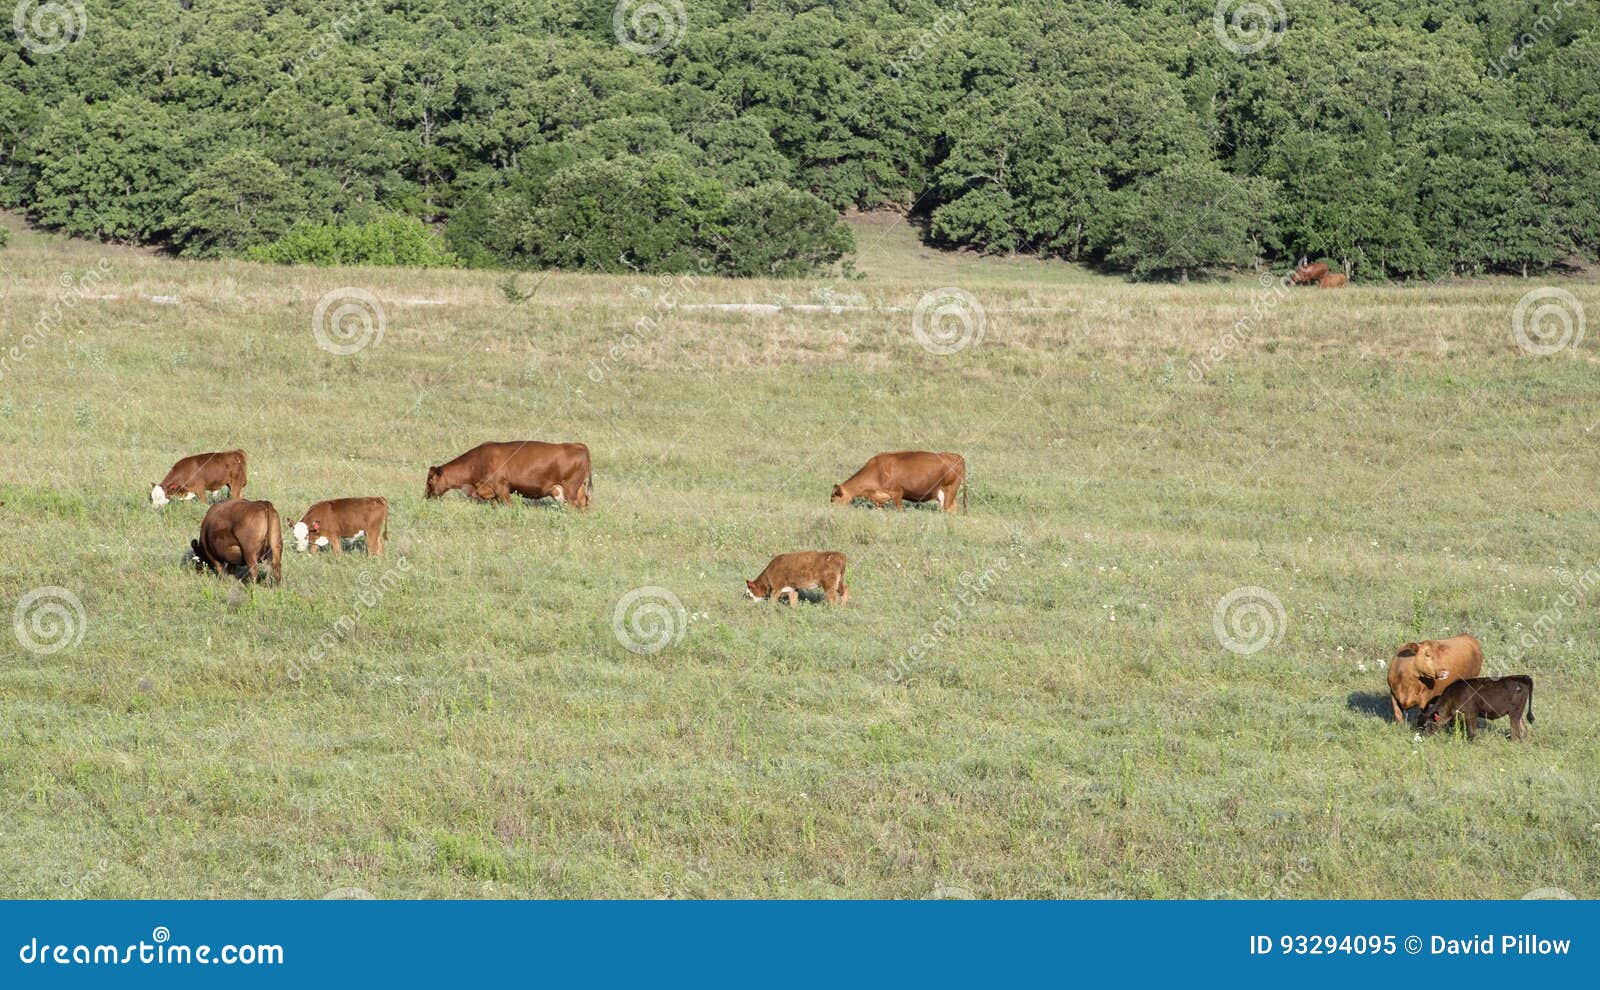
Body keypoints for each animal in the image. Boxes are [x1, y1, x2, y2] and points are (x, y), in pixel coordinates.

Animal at [424, 441, 592, 508]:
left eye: (430, 480)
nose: (426, 496)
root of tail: (578, 445)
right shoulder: (491, 493)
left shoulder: (502, 488)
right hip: (577, 489)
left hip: (570, 489)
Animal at [832, 451, 966, 512]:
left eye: (833, 499)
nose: (832, 510)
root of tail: (956, 456)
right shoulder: (878, 499)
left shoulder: (897, 493)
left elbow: (899, 509)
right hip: (942, 492)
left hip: (950, 489)